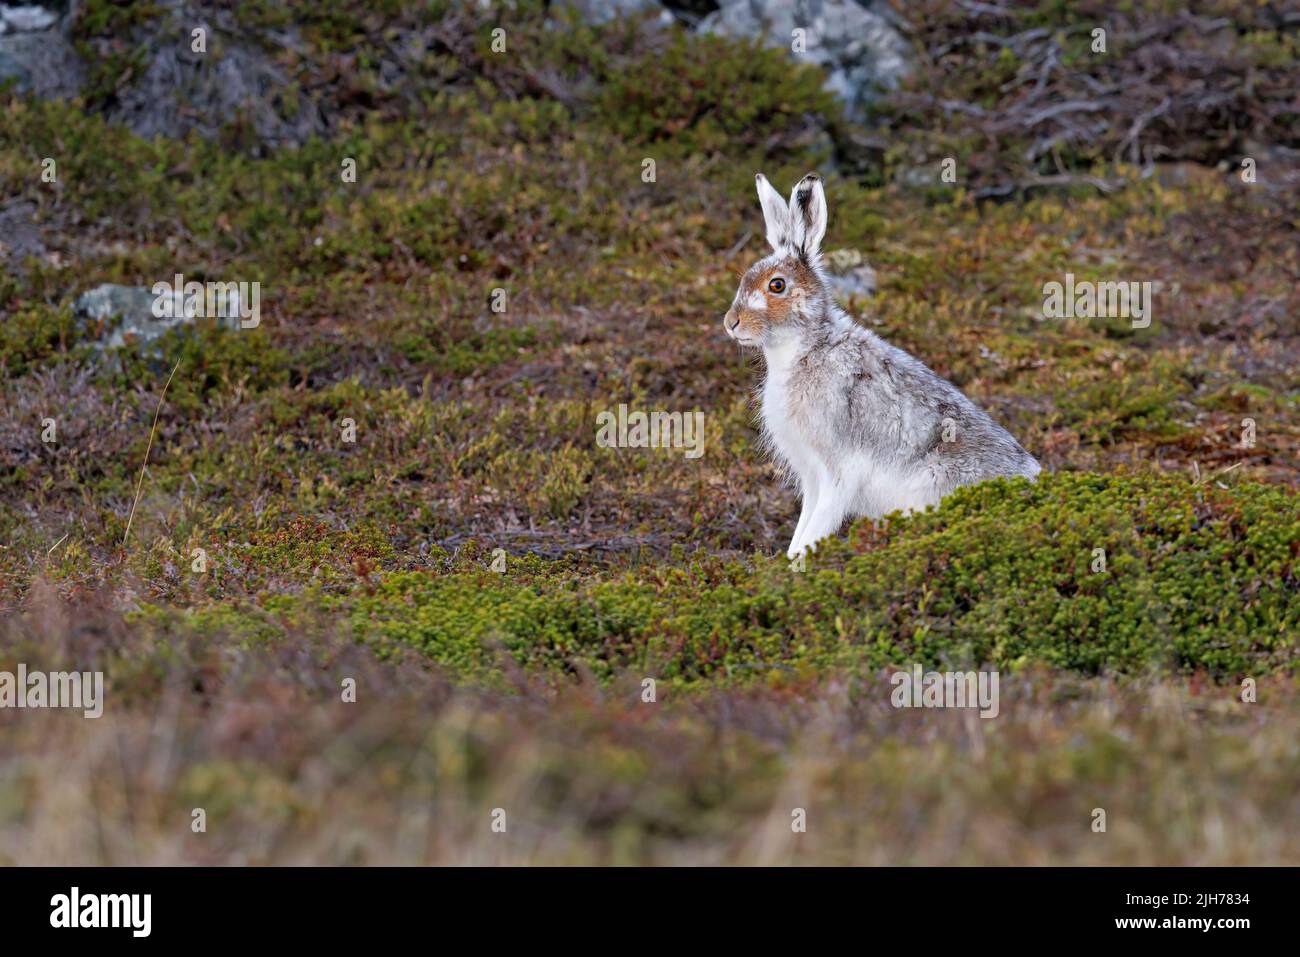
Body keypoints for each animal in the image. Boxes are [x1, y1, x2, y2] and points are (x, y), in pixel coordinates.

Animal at [723, 172, 1041, 560]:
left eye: (777, 285)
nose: (731, 322)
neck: (808, 348)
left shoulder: (839, 470)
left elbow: (818, 526)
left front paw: (797, 566)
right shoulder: (811, 475)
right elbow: (803, 526)